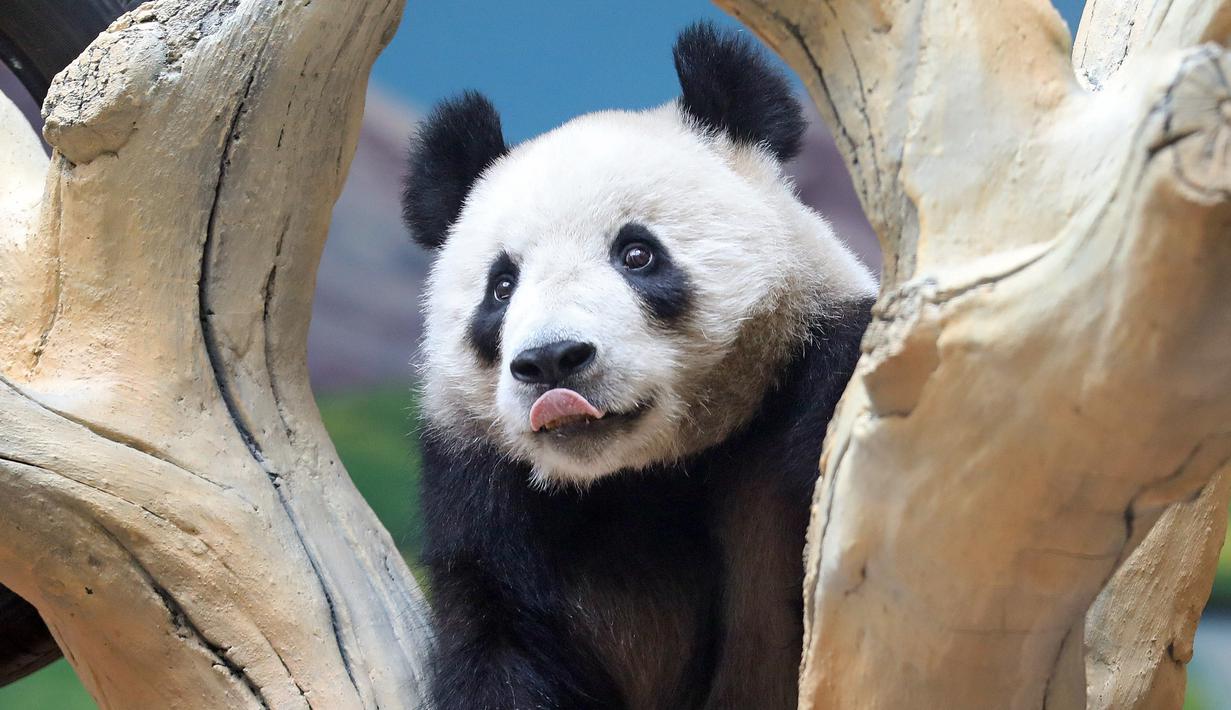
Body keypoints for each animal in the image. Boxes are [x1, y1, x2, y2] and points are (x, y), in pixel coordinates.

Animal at [402, 21, 877, 710]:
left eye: (636, 254)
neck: (642, 471)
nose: (552, 361)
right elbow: (499, 642)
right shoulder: (484, 496)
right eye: (502, 286)